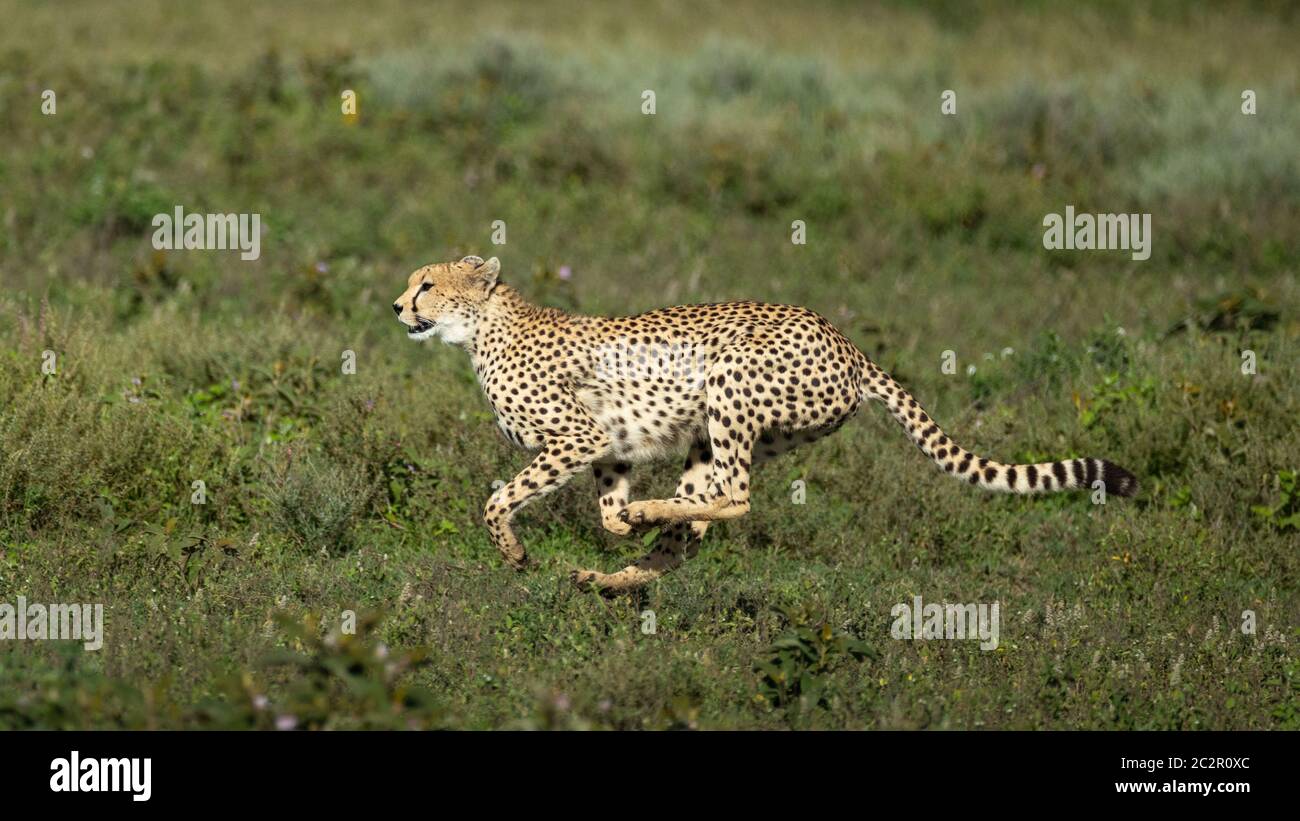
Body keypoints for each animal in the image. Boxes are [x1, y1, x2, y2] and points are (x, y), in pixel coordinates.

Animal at [394, 255, 1138, 595]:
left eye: (428, 283)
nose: (398, 305)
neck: (484, 328)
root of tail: (846, 340)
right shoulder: (610, 447)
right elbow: (606, 509)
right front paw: (619, 527)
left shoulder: (578, 436)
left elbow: (499, 500)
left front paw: (514, 553)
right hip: (711, 434)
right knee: (696, 523)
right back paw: (621, 567)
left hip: (729, 381)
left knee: (738, 499)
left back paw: (646, 526)